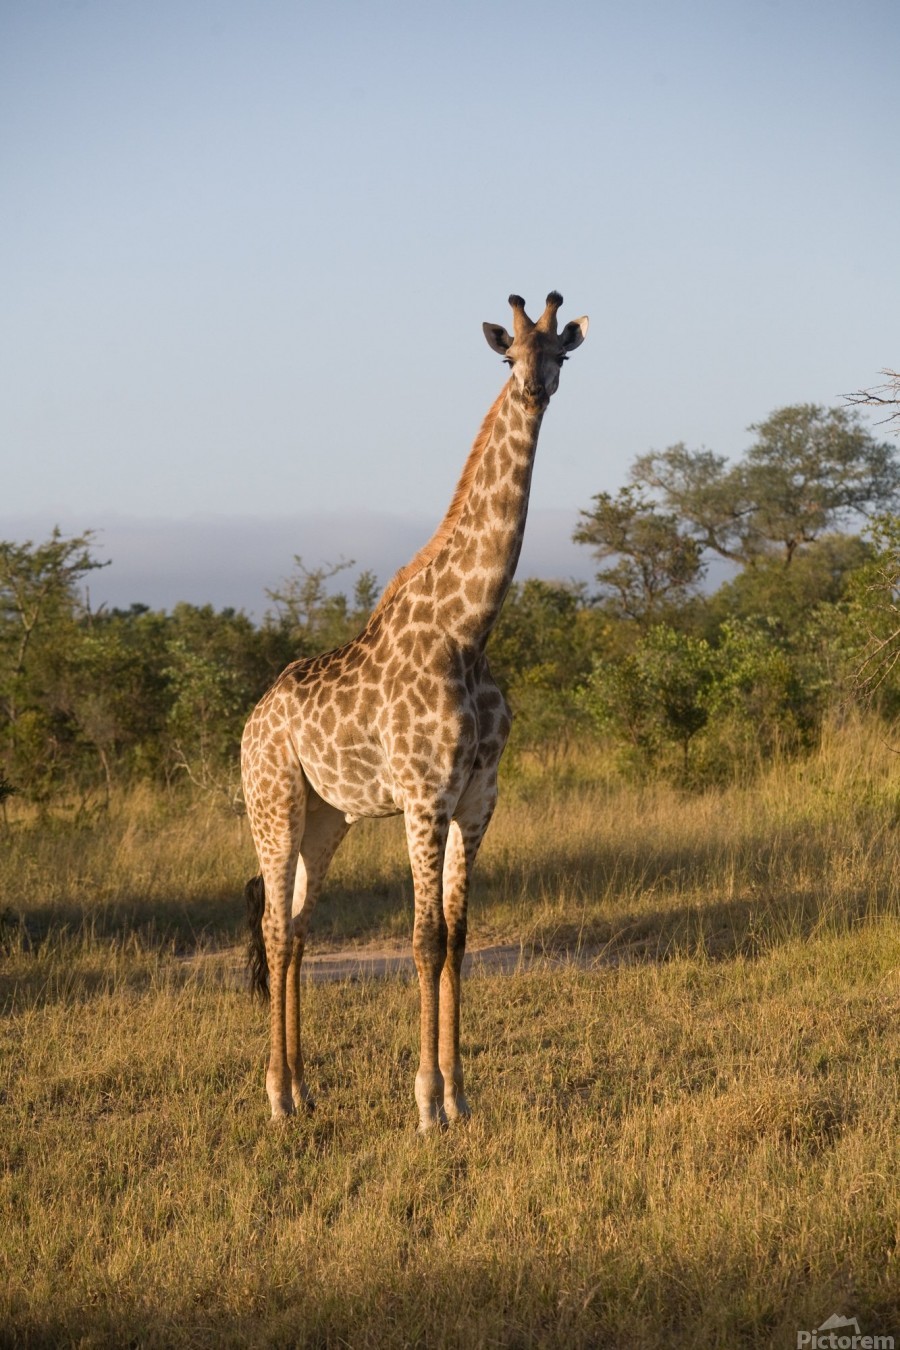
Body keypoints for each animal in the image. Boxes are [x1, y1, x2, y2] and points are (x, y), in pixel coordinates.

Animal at [241, 291, 589, 1130]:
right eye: (509, 355)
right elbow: (426, 938)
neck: (468, 629)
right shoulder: (424, 795)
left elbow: (459, 937)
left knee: (297, 929)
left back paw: (302, 1090)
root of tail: (251, 721)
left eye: (558, 353)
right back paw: (275, 1096)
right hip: (272, 803)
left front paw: (461, 1095)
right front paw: (429, 1103)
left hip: (327, 817)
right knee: (272, 926)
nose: (534, 388)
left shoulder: (478, 797)